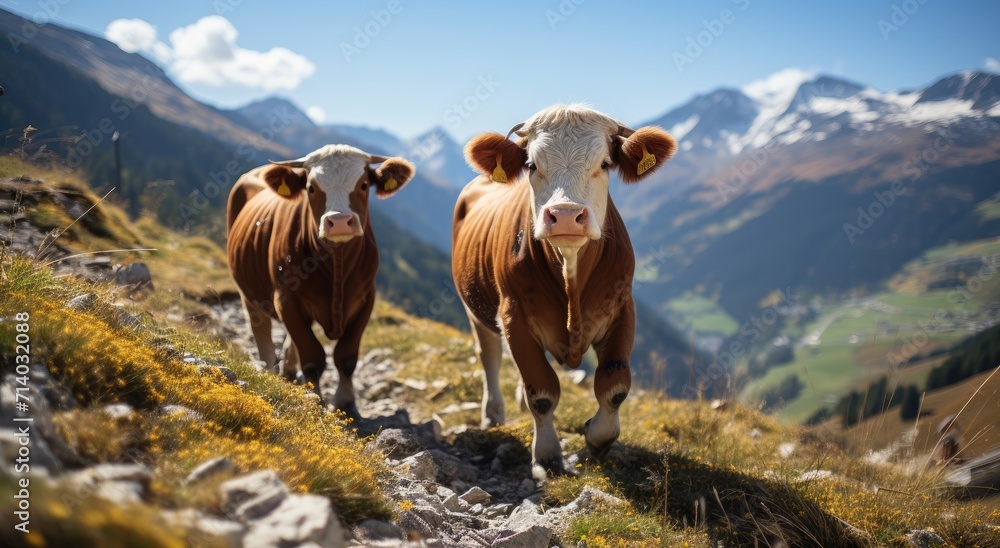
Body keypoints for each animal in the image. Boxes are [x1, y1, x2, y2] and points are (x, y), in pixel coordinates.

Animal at [227, 144, 415, 419]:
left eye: (363, 184)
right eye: (311, 188)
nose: (339, 222)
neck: (337, 262)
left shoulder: (366, 299)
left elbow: (346, 357)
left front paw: (346, 402)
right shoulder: (286, 298)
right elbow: (312, 354)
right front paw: (314, 397)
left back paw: (288, 371)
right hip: (249, 292)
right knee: (261, 330)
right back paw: (271, 371)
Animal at [452, 104, 676, 476]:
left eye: (605, 163)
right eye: (531, 165)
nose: (566, 215)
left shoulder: (621, 307)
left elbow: (615, 386)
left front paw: (597, 439)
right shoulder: (513, 314)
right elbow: (542, 393)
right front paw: (547, 456)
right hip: (475, 308)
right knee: (490, 356)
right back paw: (493, 413)